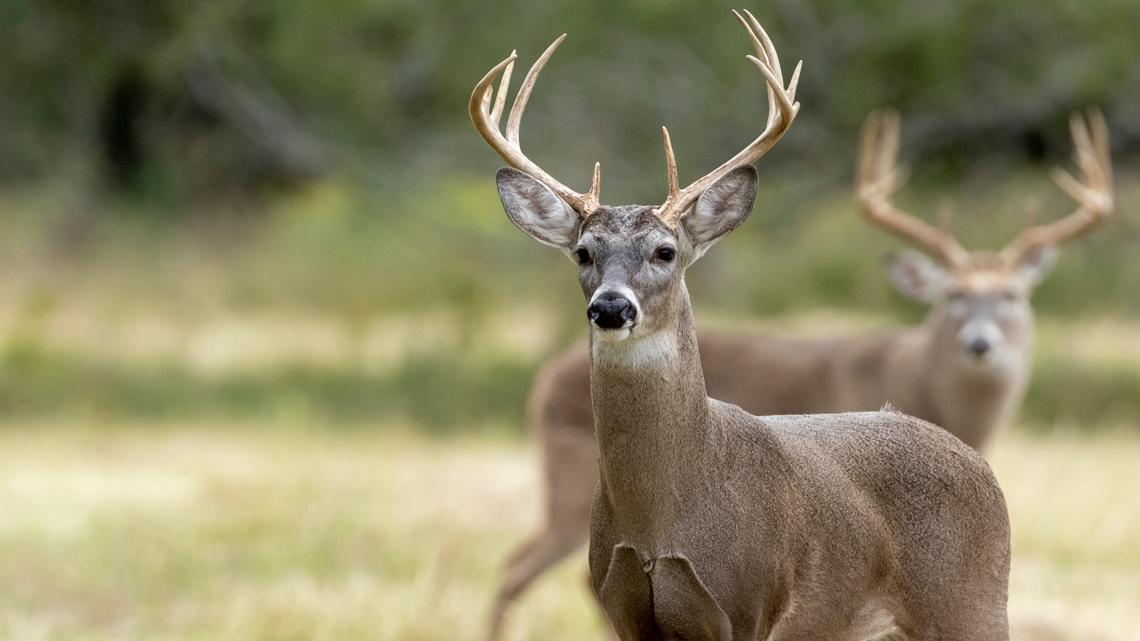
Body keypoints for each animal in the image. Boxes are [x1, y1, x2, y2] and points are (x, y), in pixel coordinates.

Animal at [473, 10, 1013, 641]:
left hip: (973, 602)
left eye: (665, 251)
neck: (663, 518)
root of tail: (977, 461)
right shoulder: (624, 607)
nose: (611, 308)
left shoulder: (750, 600)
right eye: (583, 252)